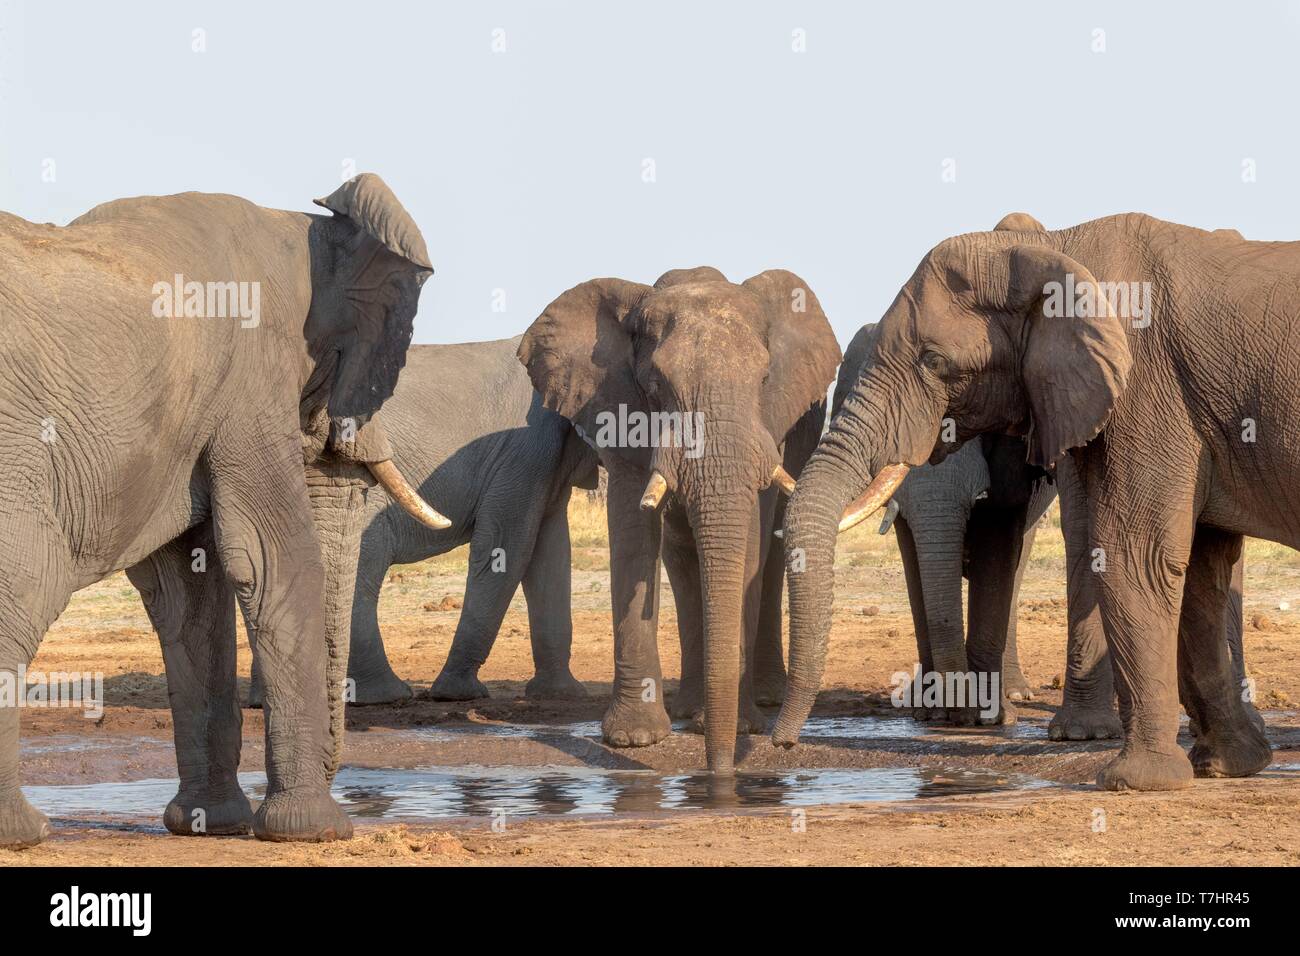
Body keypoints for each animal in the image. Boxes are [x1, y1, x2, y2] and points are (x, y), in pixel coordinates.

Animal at [0, 174, 445, 847]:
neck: (297, 227)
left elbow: (189, 588)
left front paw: (210, 824)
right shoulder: (249, 390)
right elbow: (275, 562)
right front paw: (313, 832)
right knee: (28, 582)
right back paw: (25, 832)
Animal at [248, 336, 598, 707]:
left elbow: (551, 554)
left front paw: (563, 693)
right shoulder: (524, 451)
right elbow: (507, 548)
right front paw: (458, 695)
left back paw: (262, 700)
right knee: (363, 565)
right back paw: (384, 695)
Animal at [519, 267, 841, 772]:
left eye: (764, 378)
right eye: (655, 386)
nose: (720, 770)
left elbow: (749, 541)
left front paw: (738, 727)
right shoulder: (619, 410)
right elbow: (634, 535)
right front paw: (634, 740)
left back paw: (756, 701)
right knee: (682, 558)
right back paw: (693, 708)